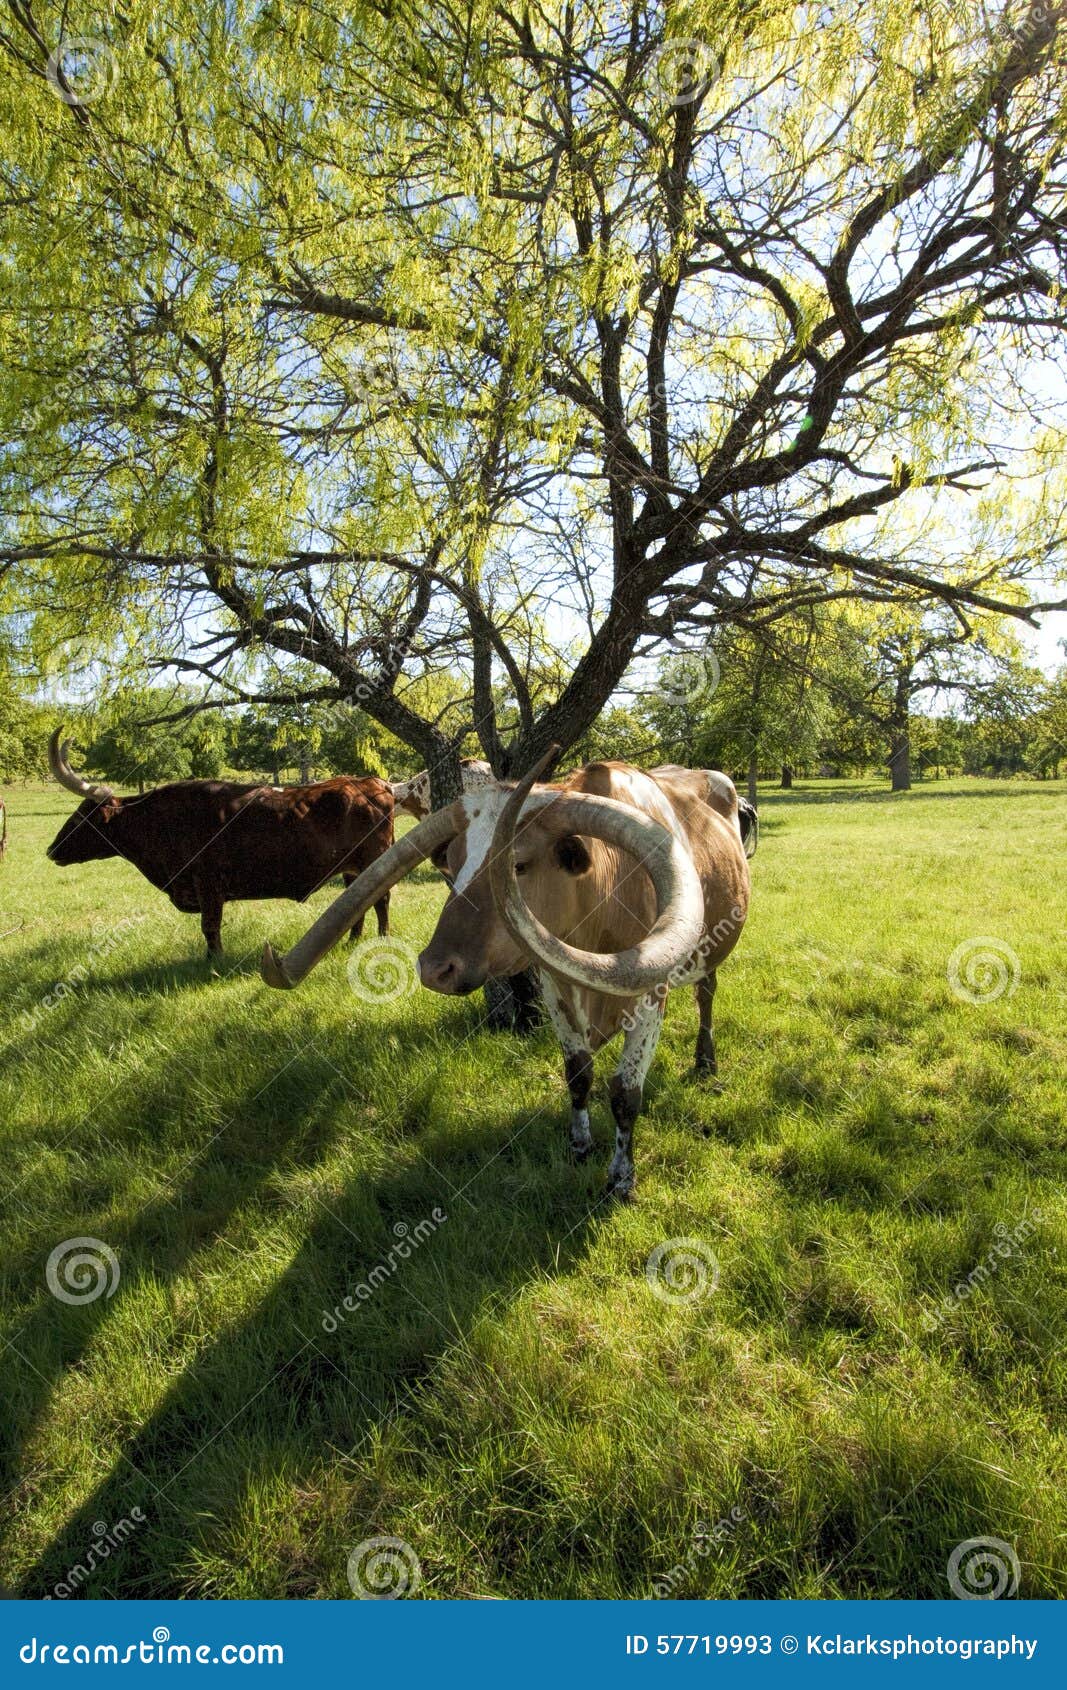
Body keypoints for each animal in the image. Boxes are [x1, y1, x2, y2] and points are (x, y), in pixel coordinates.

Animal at [46, 729, 394, 959]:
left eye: (81, 819)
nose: (51, 851)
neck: (162, 821)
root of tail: (372, 783)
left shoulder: (208, 885)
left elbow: (209, 926)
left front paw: (215, 962)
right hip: (353, 869)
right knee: (359, 901)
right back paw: (352, 941)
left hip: (373, 861)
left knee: (380, 900)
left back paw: (382, 938)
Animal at [262, 750, 755, 1198]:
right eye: (452, 862)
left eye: (518, 865)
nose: (435, 968)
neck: (609, 889)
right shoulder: (556, 988)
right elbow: (578, 1072)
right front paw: (579, 1146)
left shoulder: (651, 997)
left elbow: (624, 1093)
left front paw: (621, 1178)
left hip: (711, 955)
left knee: (706, 994)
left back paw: (706, 1062)